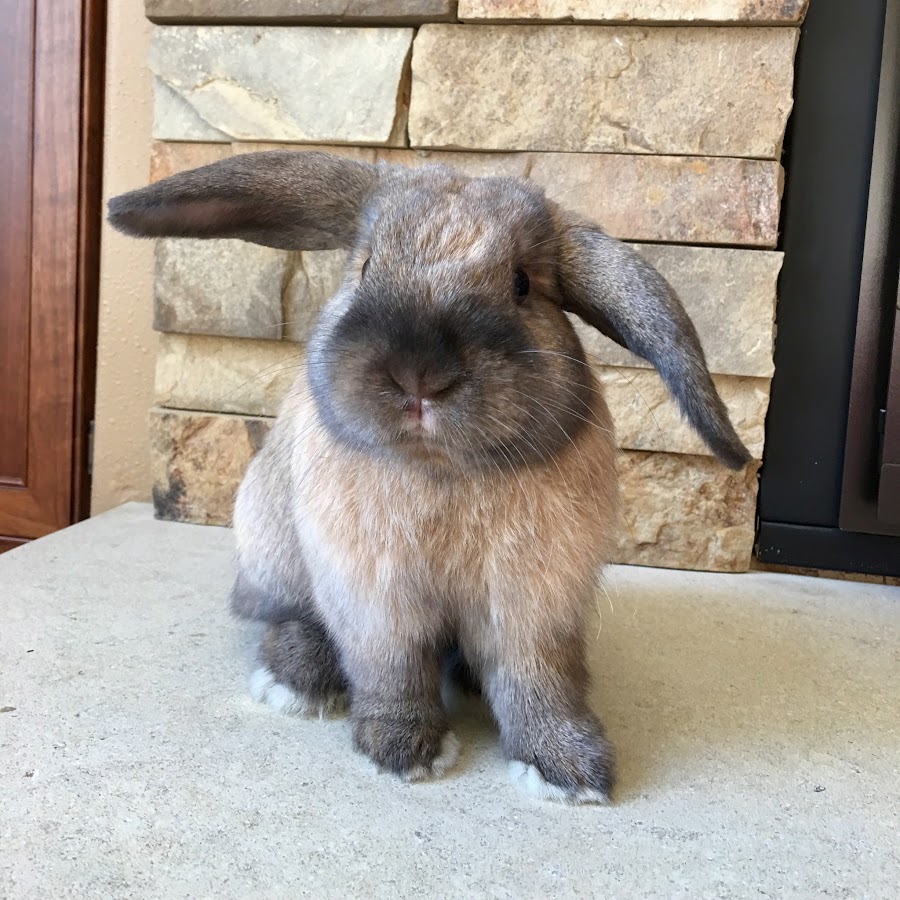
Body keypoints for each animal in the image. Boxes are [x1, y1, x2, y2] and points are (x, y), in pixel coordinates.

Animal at [108, 150, 750, 803]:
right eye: (365, 266)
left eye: (522, 284)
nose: (419, 372)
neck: (443, 471)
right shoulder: (375, 597)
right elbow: (392, 671)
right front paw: (401, 750)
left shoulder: (537, 607)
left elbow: (540, 681)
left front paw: (568, 769)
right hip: (274, 551)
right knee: (285, 616)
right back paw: (298, 680)